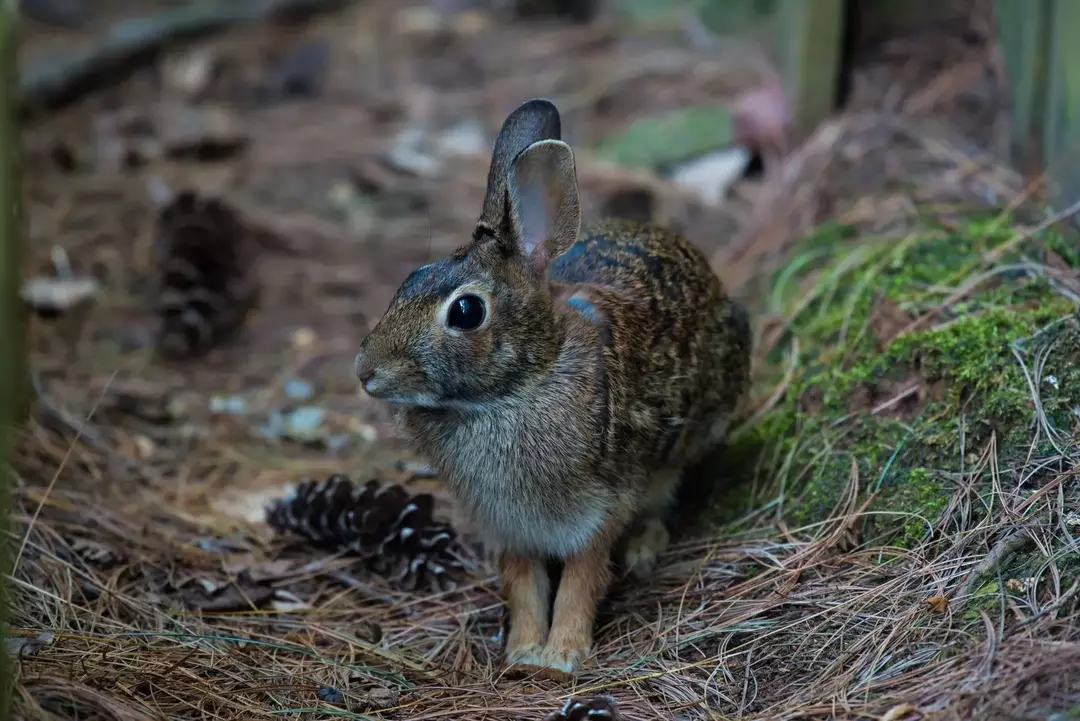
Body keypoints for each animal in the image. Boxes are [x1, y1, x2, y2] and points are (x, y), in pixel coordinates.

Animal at [354, 97, 751, 677]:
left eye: (466, 312)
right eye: (412, 276)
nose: (366, 372)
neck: (517, 388)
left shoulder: (600, 508)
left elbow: (581, 580)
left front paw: (562, 655)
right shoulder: (507, 527)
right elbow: (524, 585)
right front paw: (523, 651)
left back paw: (643, 550)